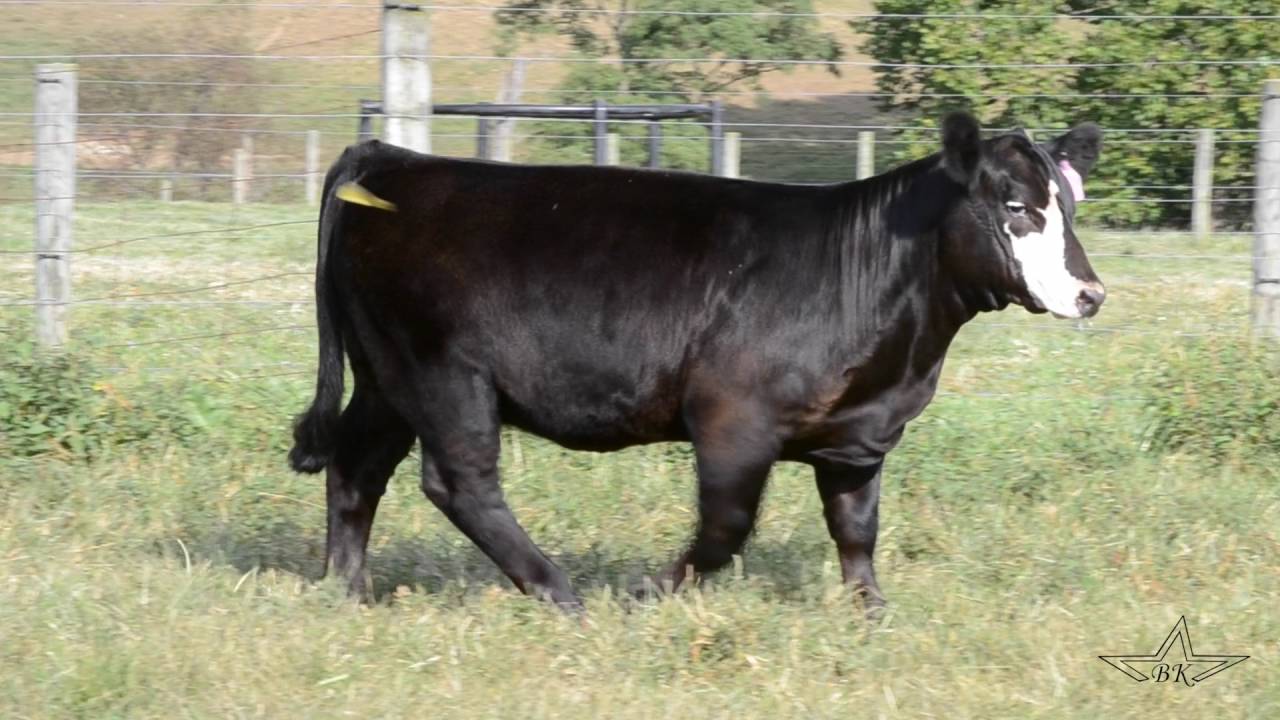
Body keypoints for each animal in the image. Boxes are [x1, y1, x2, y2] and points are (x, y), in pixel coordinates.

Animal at [288, 112, 1104, 613]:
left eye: (1069, 204)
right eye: (1016, 206)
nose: (1091, 292)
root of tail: (394, 157)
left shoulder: (857, 436)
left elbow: (857, 531)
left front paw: (872, 614)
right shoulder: (732, 419)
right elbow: (725, 528)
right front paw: (649, 594)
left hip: (387, 378)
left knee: (358, 465)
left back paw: (346, 589)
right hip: (444, 374)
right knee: (461, 482)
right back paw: (563, 595)